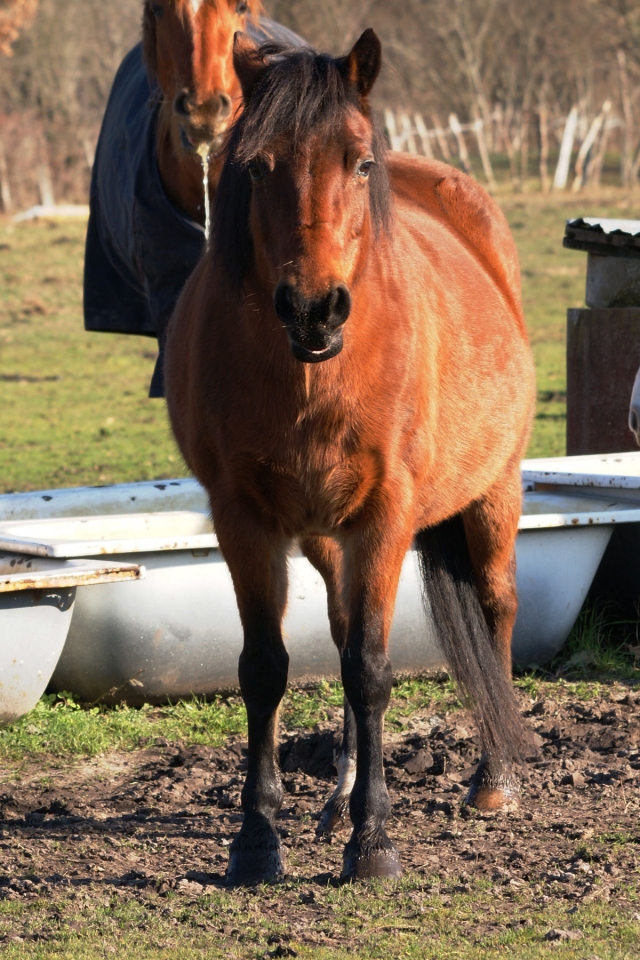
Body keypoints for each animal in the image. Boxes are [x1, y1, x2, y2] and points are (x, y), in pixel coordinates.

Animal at [165, 30, 538, 884]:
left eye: (360, 164)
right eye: (255, 166)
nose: (313, 308)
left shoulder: (385, 515)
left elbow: (371, 669)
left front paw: (374, 843)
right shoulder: (243, 519)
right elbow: (266, 668)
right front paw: (257, 838)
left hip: (493, 493)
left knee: (496, 607)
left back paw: (493, 777)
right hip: (325, 537)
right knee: (336, 634)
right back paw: (336, 800)